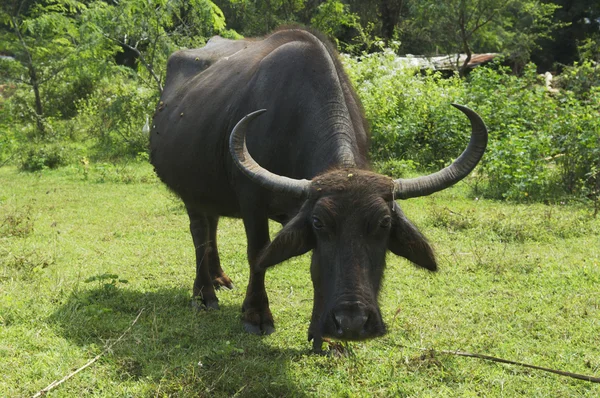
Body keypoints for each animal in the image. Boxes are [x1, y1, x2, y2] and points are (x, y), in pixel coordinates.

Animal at [150, 28, 488, 352]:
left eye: (384, 224)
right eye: (320, 223)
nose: (353, 323)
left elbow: (315, 268)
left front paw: (324, 337)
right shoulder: (253, 202)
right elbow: (257, 253)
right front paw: (256, 315)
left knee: (212, 227)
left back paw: (220, 278)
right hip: (190, 191)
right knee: (199, 234)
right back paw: (204, 294)